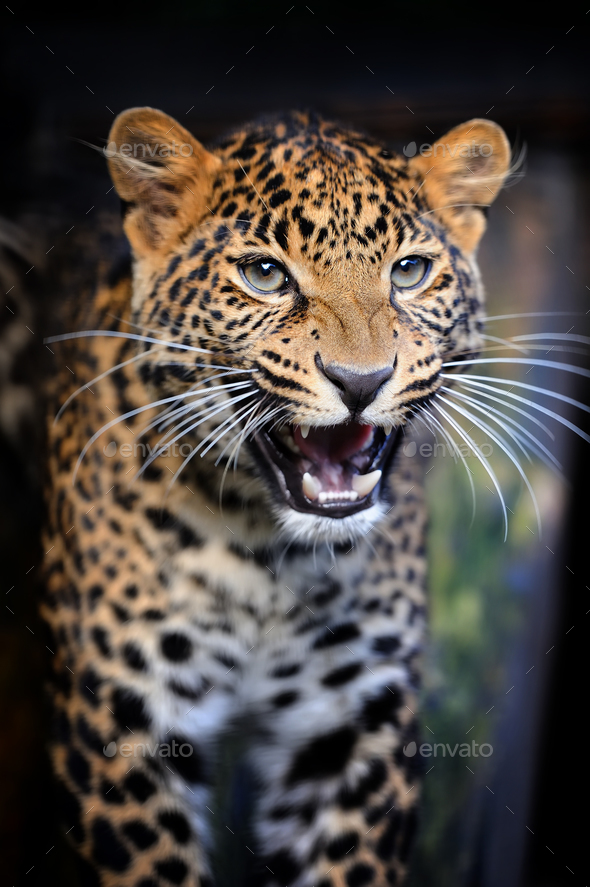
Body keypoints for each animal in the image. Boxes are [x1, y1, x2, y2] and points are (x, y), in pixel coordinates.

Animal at [41, 107, 510, 887]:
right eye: (265, 275)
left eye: (409, 272)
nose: (360, 380)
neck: (269, 558)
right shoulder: (122, 714)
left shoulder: (355, 716)